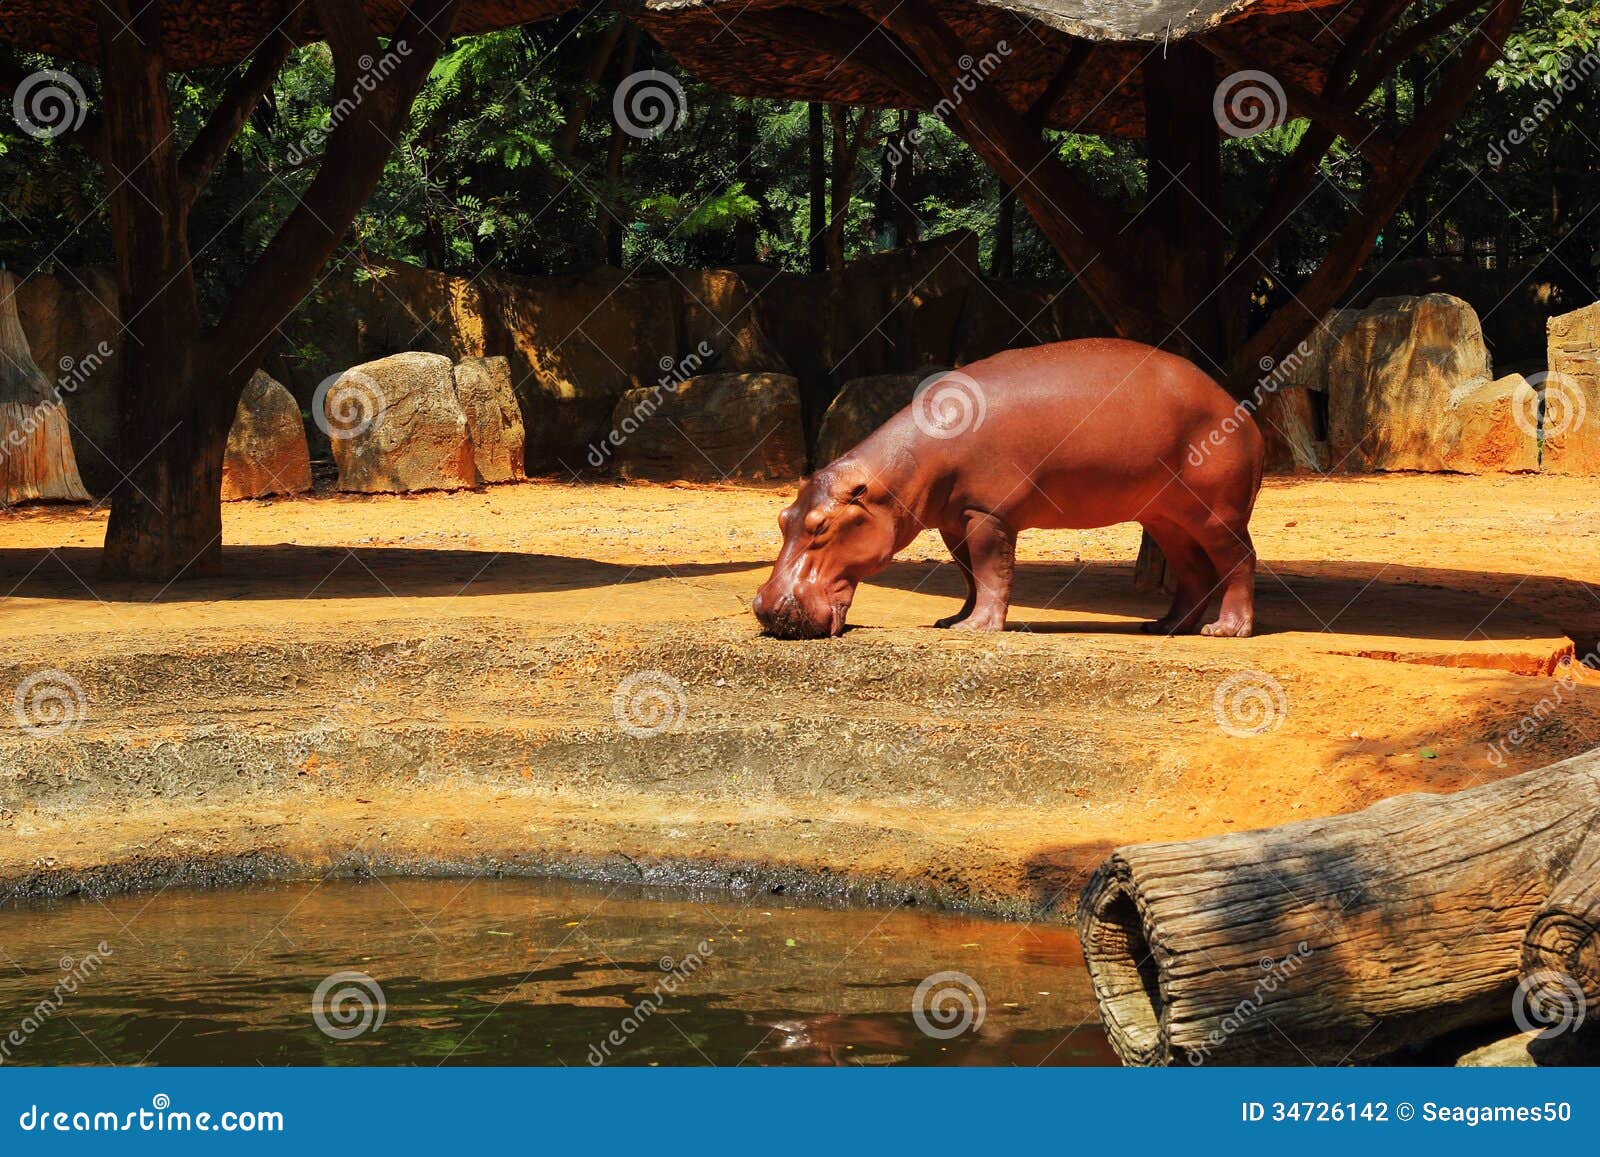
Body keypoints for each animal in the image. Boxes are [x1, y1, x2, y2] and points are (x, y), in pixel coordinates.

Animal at [751, 338, 1263, 639]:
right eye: (782, 518)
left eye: (821, 527)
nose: (764, 608)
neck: (899, 474)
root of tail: (1241, 411)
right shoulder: (954, 520)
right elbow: (968, 574)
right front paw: (953, 620)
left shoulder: (987, 514)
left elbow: (991, 571)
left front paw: (978, 628)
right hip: (1164, 516)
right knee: (1194, 570)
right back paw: (1164, 626)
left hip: (1217, 513)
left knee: (1239, 560)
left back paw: (1226, 630)